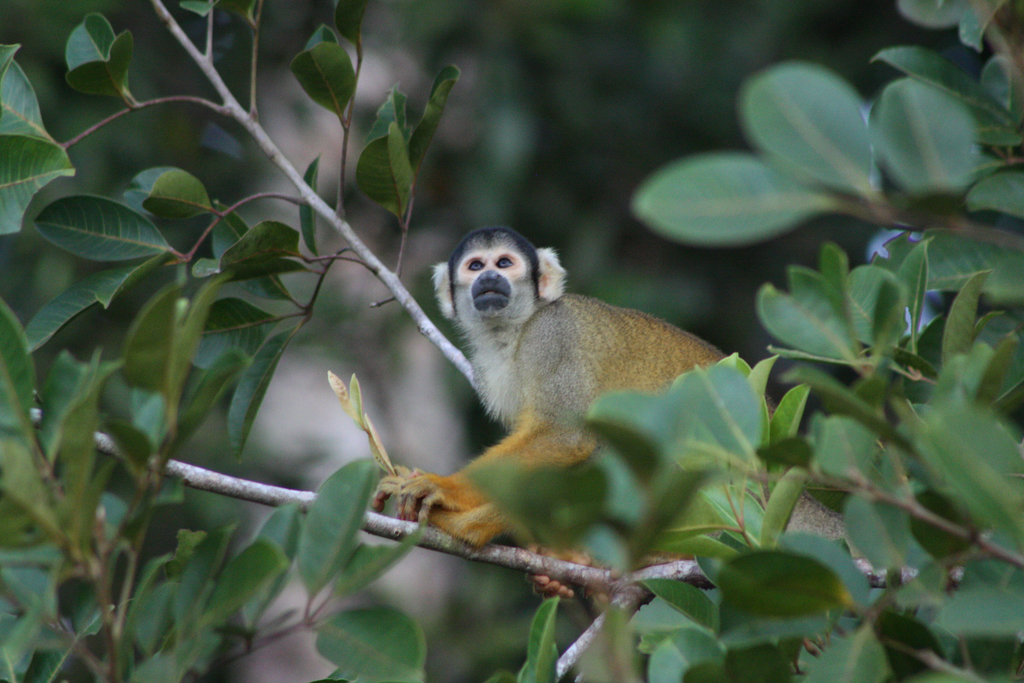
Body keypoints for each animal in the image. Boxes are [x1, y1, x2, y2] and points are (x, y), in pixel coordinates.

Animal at [371, 227, 724, 550]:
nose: (488, 277)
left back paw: (465, 528)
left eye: (504, 263)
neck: (515, 329)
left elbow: (563, 435)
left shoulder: (552, 336)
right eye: (475, 265)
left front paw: (442, 487)